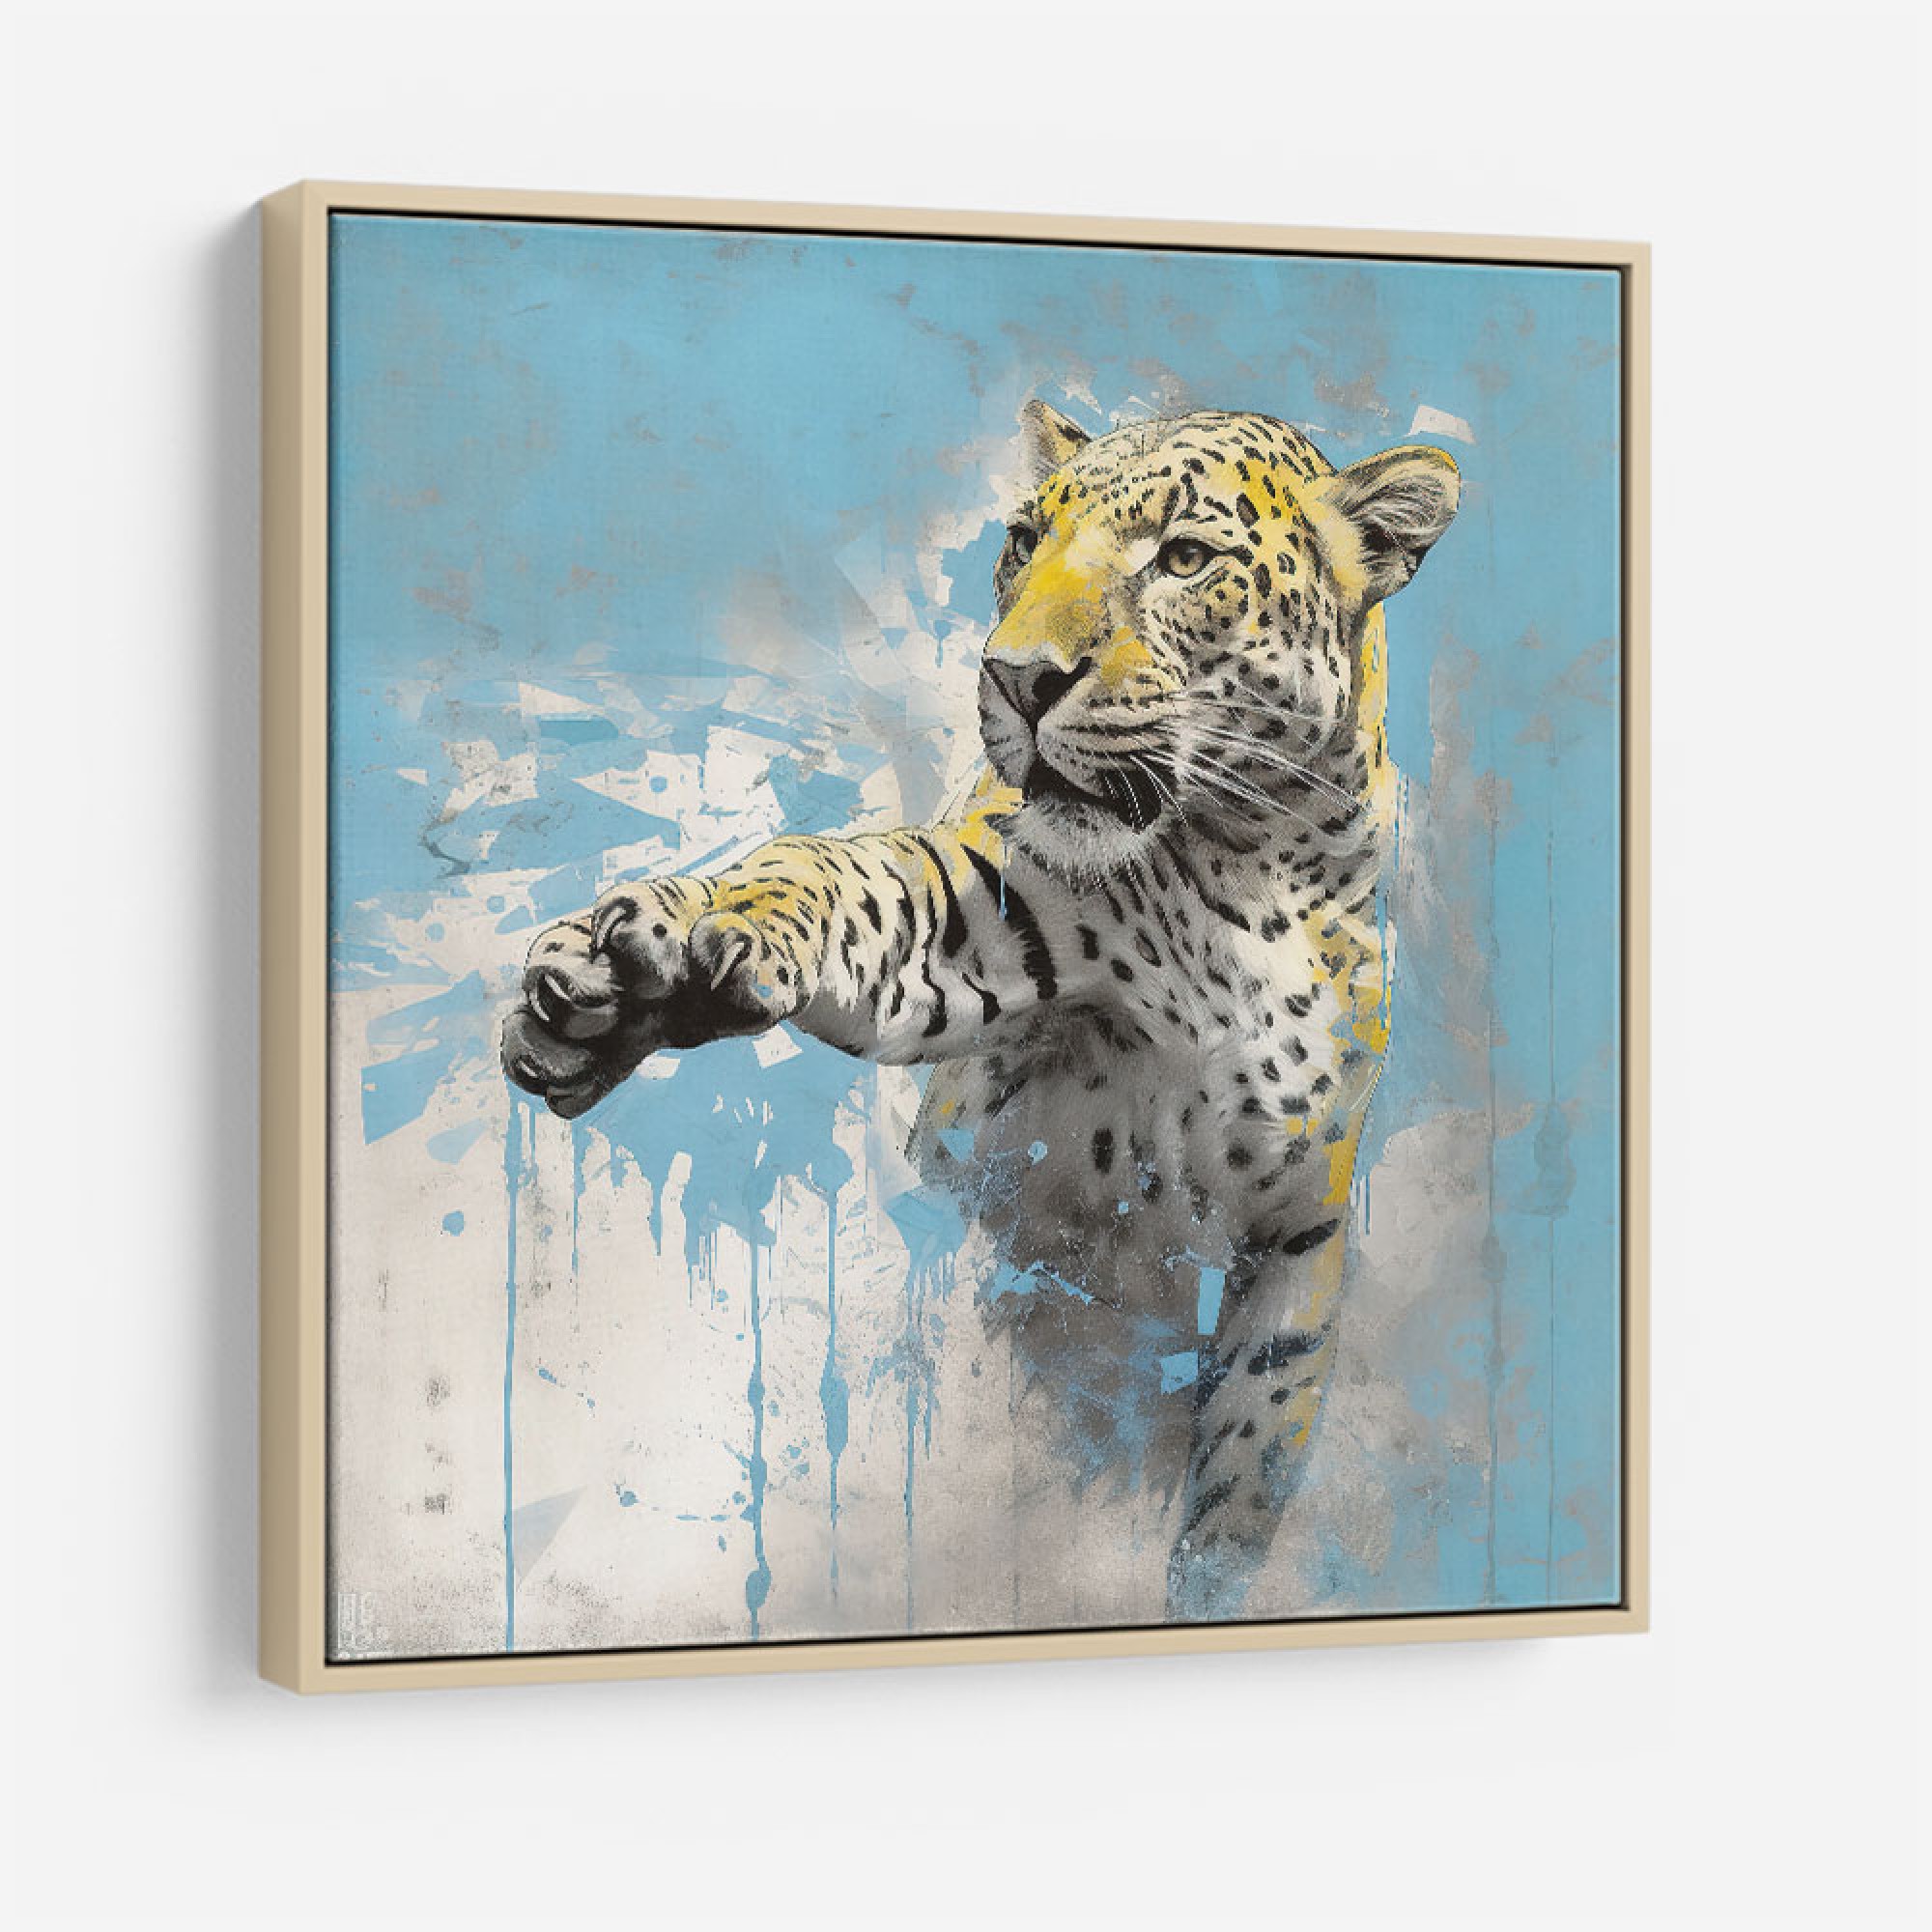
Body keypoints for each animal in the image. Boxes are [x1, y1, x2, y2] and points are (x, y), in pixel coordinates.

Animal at [501, 400, 1460, 1619]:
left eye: (1182, 559)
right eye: (1021, 541)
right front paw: (645, 959)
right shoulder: (976, 926)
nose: (1013, 677)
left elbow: (1239, 1472)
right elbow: (843, 883)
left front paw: (1199, 1582)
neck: (1246, 878)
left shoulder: (1296, 1239)